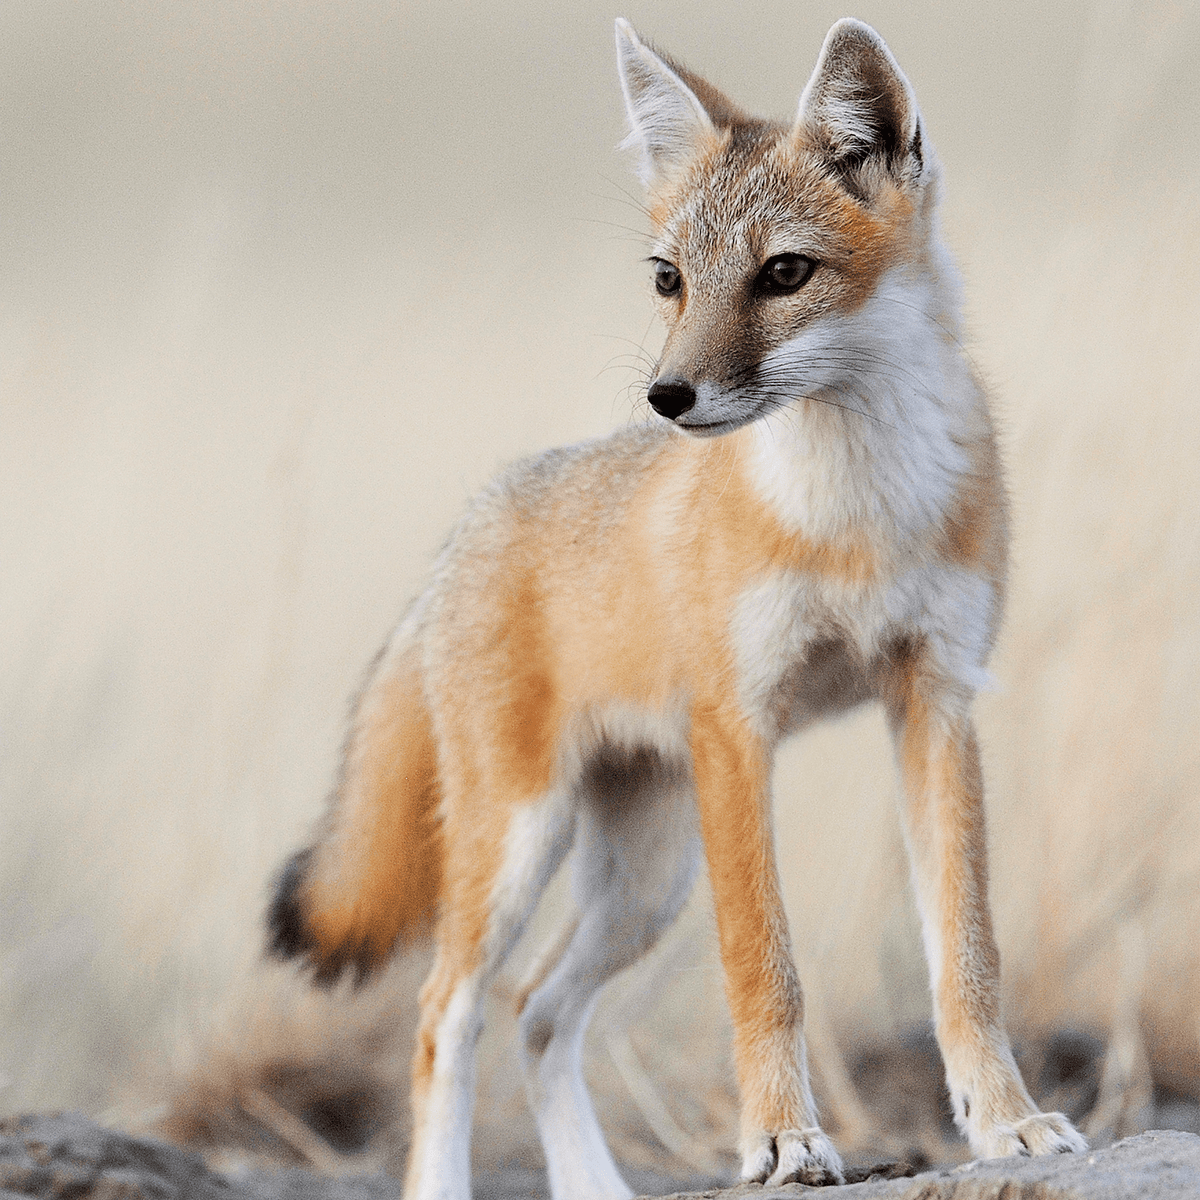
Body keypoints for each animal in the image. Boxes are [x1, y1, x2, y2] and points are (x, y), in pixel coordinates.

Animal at [266, 16, 1088, 1199]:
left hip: (644, 881)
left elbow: (969, 955)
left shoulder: (937, 699)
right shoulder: (737, 729)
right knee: (445, 1015)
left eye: (783, 273)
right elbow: (762, 963)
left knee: (536, 1010)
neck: (854, 517)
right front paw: (784, 1141)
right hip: (520, 849)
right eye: (669, 280)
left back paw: (593, 1185)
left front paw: (1006, 1122)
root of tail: (474, 518)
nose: (667, 398)